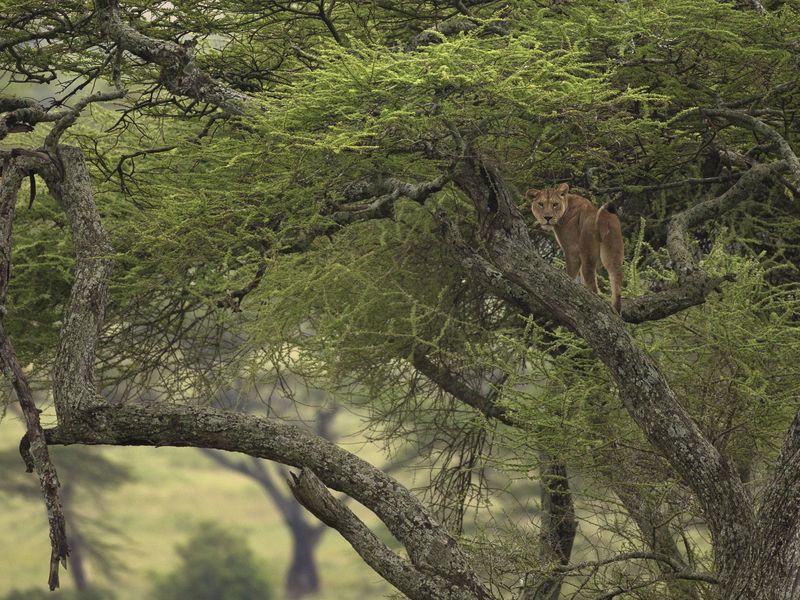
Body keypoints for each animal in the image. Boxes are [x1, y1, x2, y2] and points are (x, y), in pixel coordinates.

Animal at [527, 183, 623, 313]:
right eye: (540, 204)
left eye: (555, 204)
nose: (547, 217)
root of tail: (602, 218)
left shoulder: (572, 250)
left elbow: (571, 276)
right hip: (614, 253)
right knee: (616, 285)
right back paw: (615, 310)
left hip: (587, 255)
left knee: (593, 287)